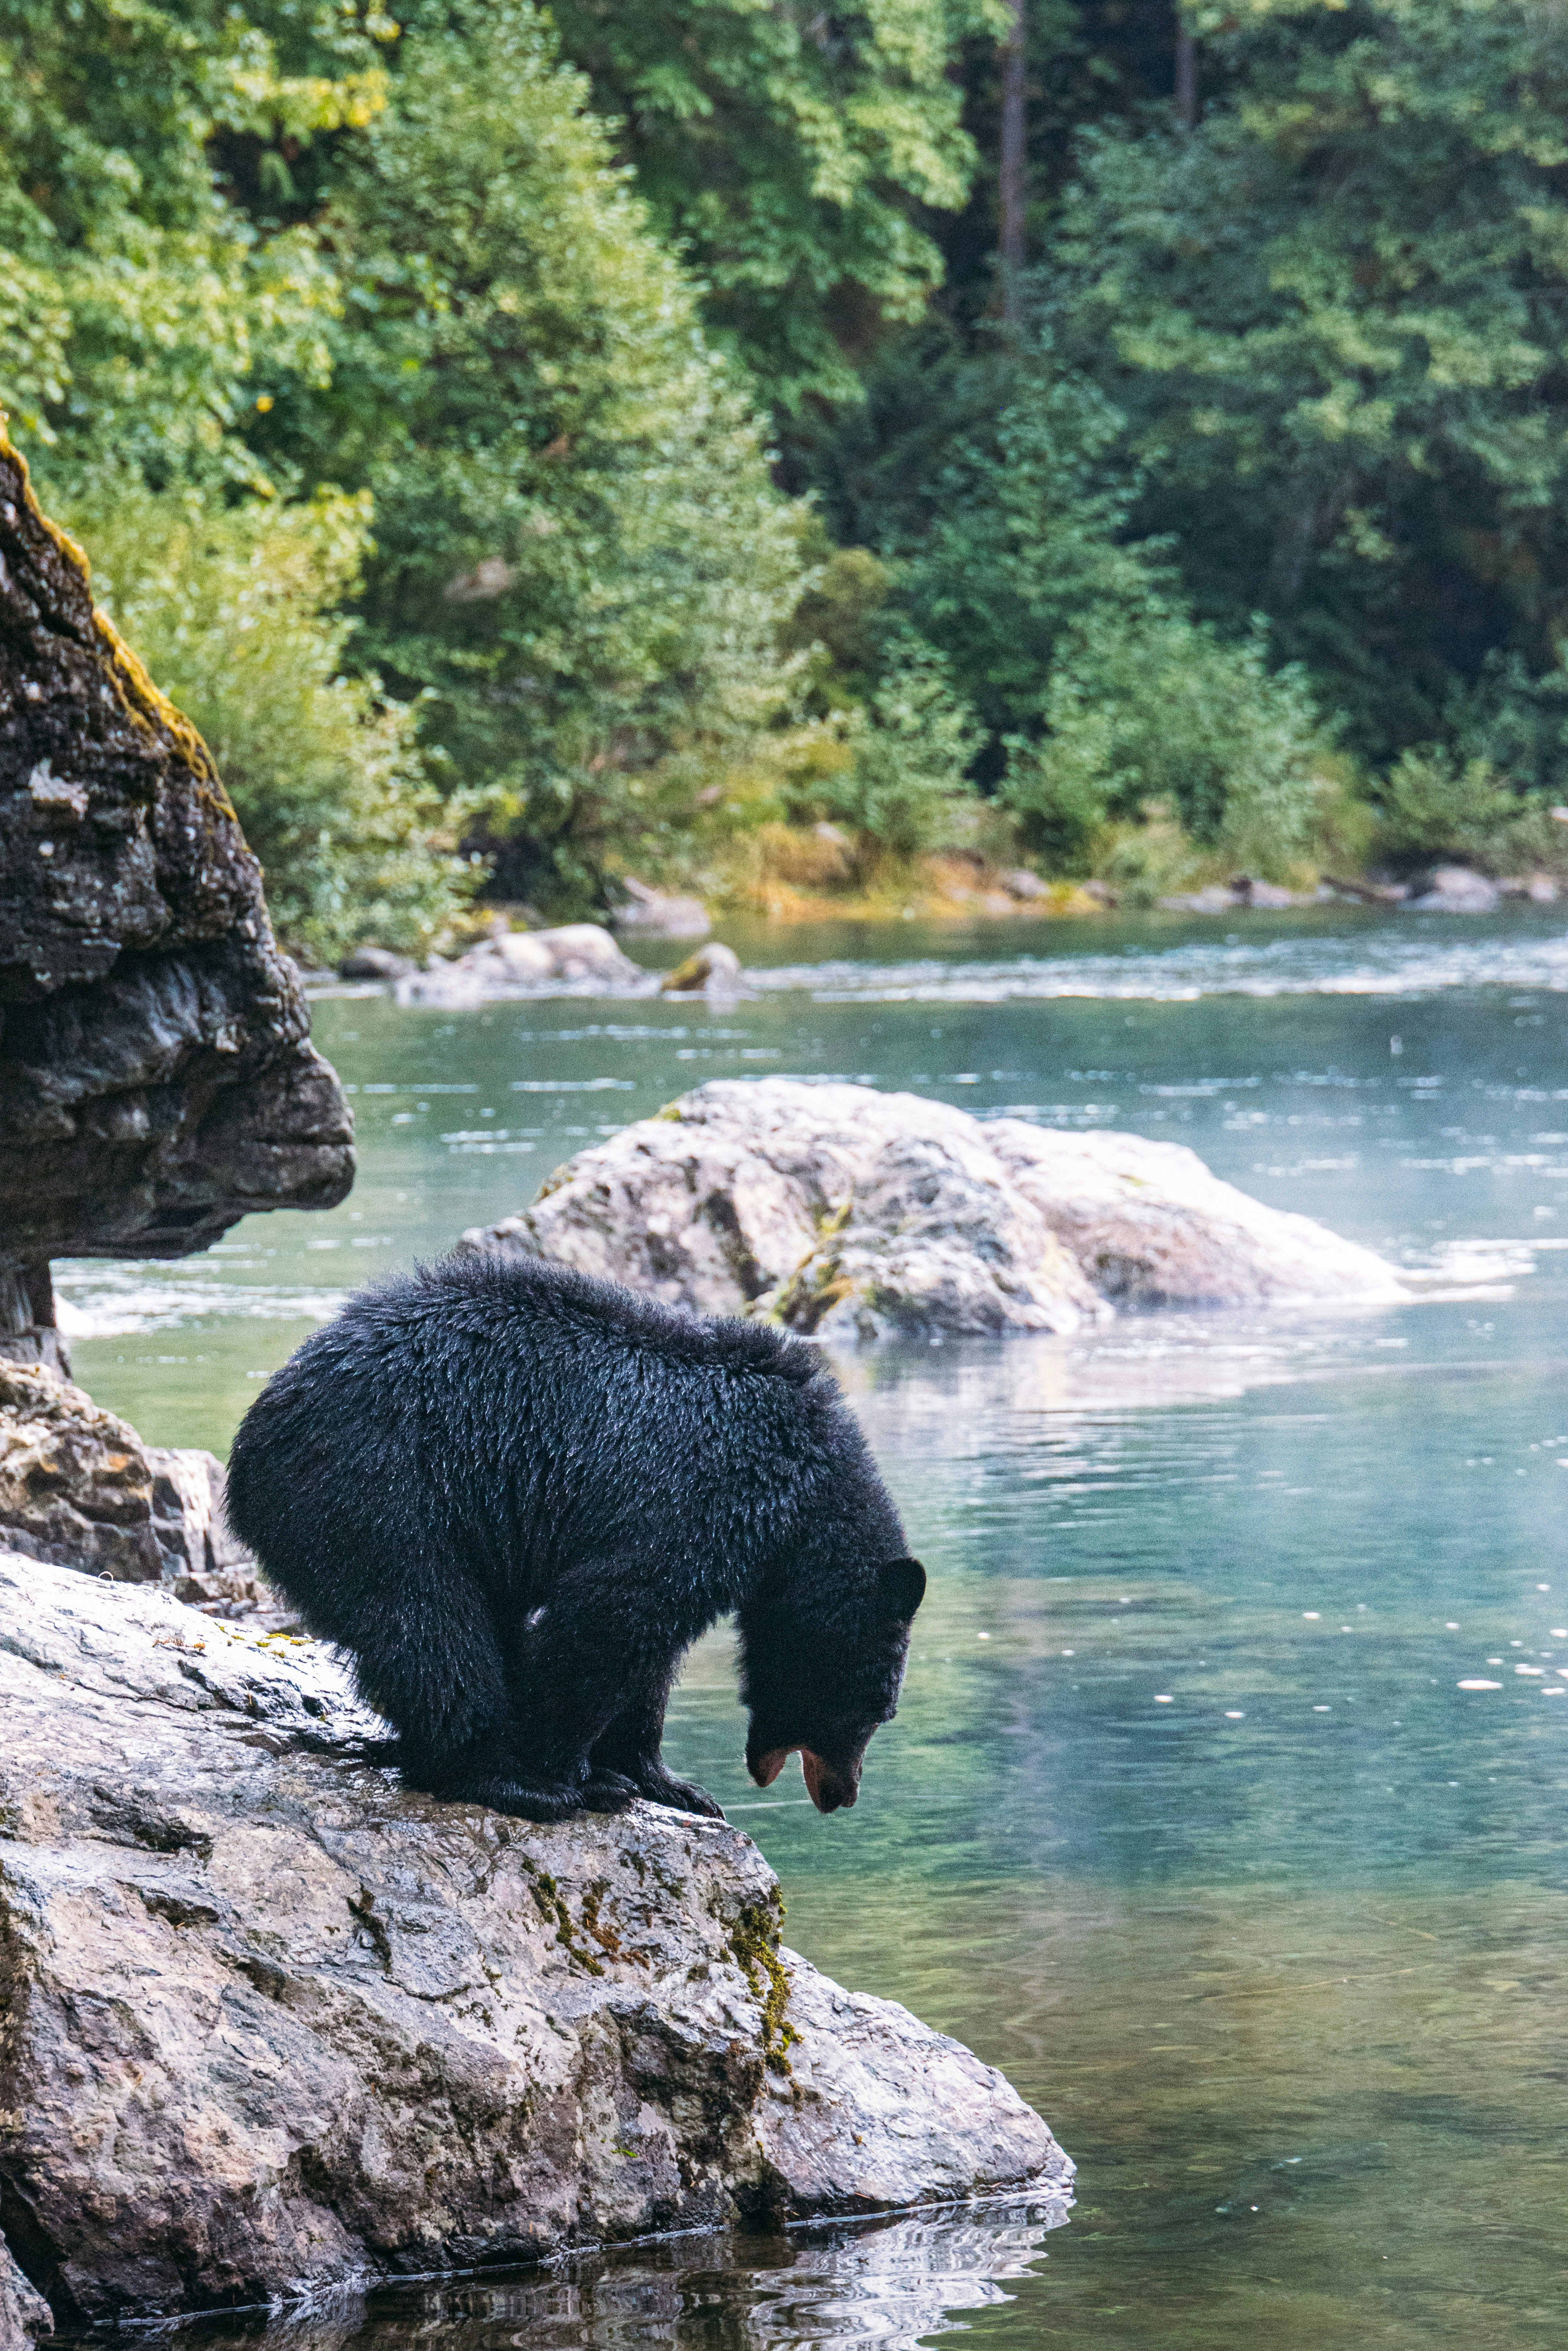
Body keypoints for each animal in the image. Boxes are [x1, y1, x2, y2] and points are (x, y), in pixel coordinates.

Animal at [225, 1249, 926, 1823]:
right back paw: (500, 1776)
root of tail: (261, 1416)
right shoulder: (702, 1499)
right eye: (875, 1709)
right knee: (425, 1621)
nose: (842, 1794)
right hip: (379, 1487)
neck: (806, 1497)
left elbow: (648, 1657)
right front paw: (571, 1773)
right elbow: (606, 1622)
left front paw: (669, 1782)